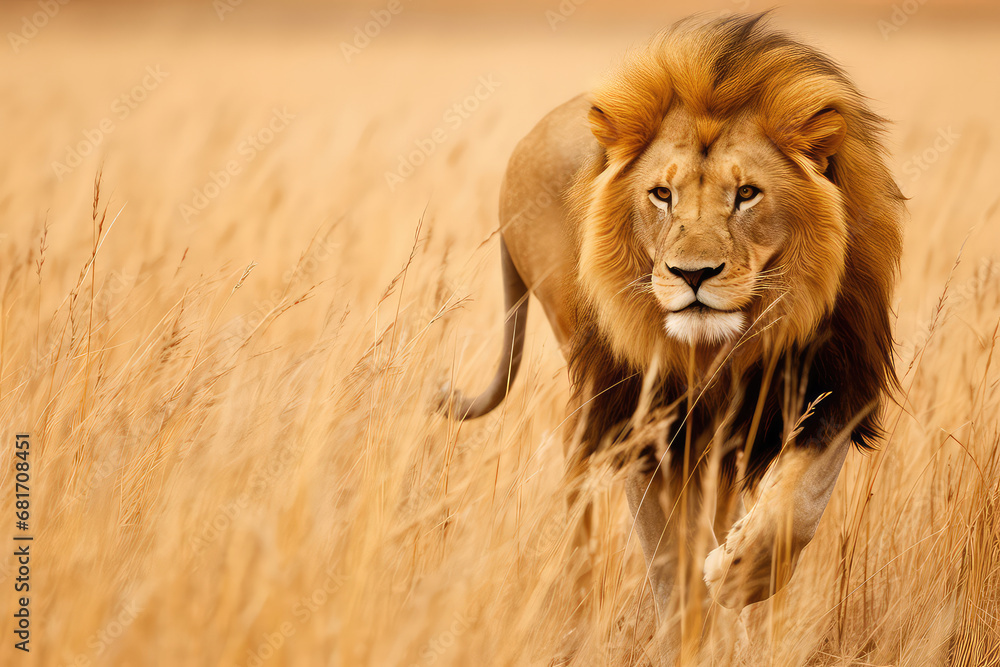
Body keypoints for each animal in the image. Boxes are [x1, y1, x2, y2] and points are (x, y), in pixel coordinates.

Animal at [442, 13, 904, 658]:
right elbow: (671, 566)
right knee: (579, 479)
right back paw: (580, 617)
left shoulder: (836, 390)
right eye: (662, 194)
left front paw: (739, 577)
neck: (721, 350)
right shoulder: (641, 422)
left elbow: (799, 505)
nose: (693, 274)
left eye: (747, 194)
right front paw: (689, 638)